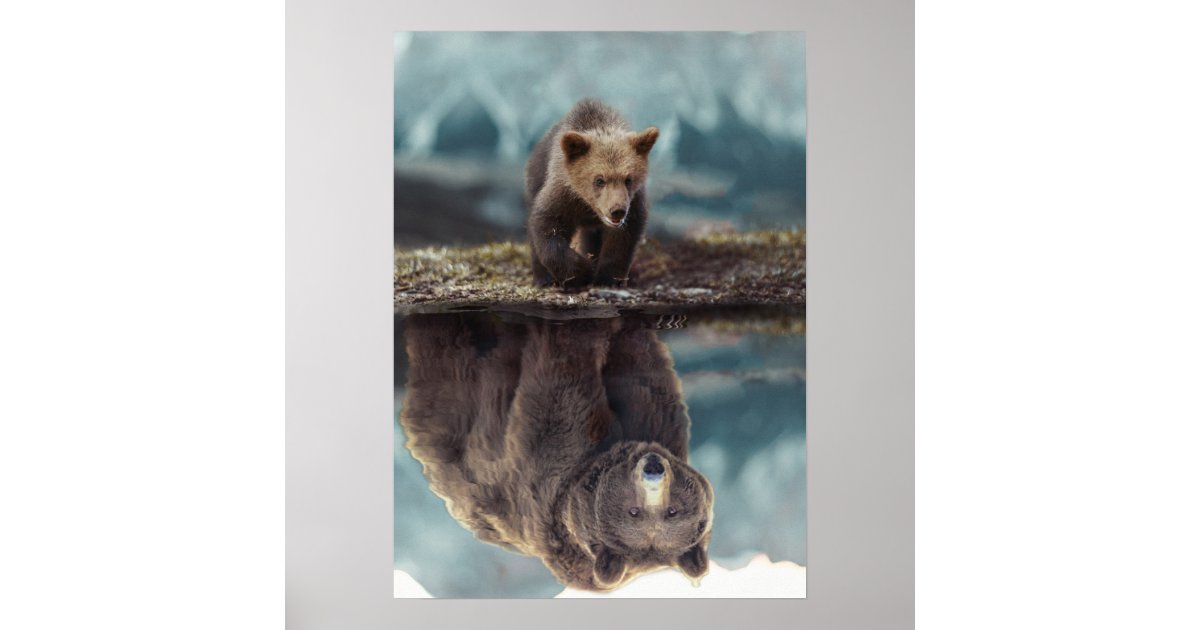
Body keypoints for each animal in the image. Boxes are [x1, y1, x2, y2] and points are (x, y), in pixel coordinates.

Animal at [399, 312, 714, 591]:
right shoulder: (654, 424)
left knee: (446, 359)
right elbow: (640, 369)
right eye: (634, 511)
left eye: (670, 511)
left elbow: (559, 384)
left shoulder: (552, 467)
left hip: (451, 423)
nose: (653, 468)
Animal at [524, 99, 659, 288]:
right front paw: (582, 271)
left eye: (628, 179)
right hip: (536, 177)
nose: (617, 210)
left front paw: (607, 278)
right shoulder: (563, 194)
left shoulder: (633, 203)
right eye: (599, 180)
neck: (588, 206)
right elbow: (547, 224)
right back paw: (543, 278)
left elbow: (623, 240)